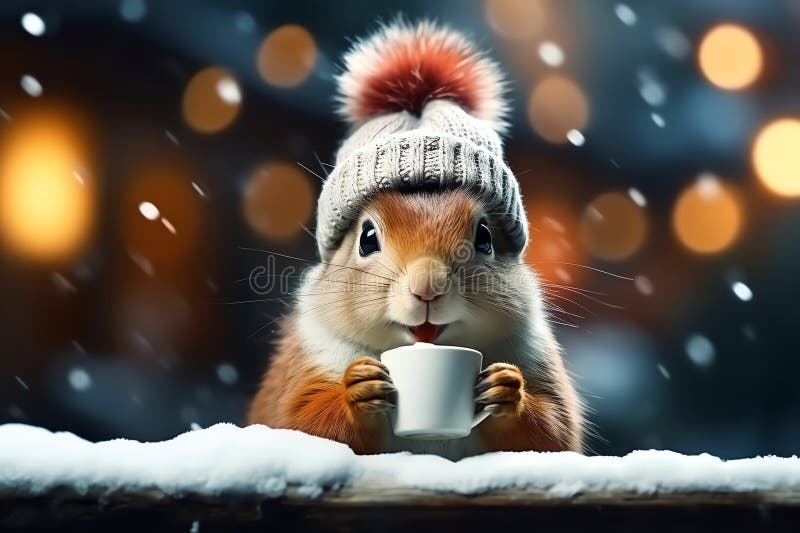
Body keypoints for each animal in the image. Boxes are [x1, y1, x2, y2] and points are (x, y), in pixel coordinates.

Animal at [247, 20, 584, 459]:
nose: (427, 288)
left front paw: (507, 391)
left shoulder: (536, 358)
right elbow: (299, 421)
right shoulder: (307, 364)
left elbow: (553, 431)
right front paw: (357, 390)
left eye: (485, 237)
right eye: (366, 238)